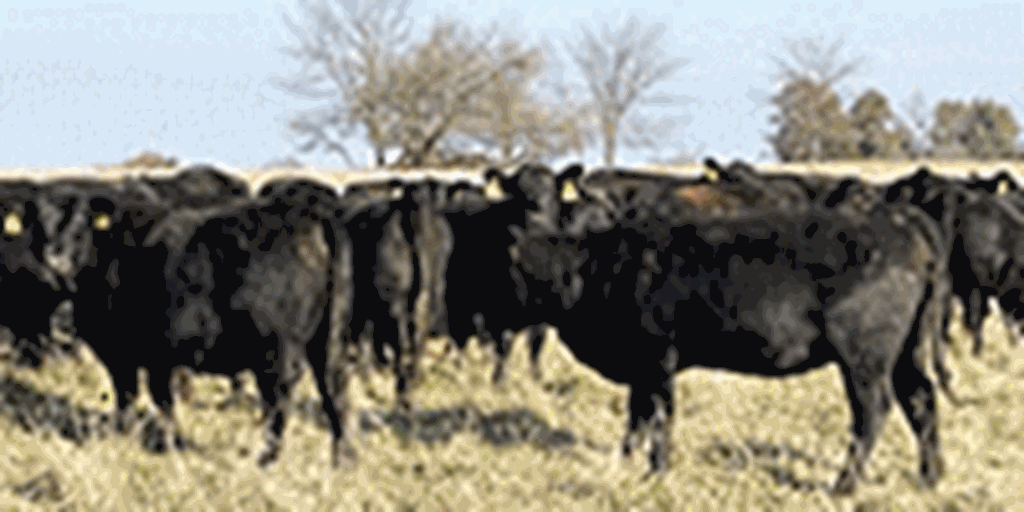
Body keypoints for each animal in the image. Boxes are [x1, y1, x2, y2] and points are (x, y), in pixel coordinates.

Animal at [34, 176, 355, 468]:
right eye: (42, 226)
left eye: (81, 225)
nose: (54, 261)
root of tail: (309, 216)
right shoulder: (156, 357)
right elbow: (157, 398)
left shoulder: (124, 353)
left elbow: (135, 396)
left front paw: (135, 438)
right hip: (327, 341)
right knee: (334, 389)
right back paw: (342, 458)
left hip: (277, 349)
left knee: (279, 398)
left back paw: (268, 457)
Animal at [495, 161, 954, 495]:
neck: (603, 267)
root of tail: (905, 224)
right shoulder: (640, 366)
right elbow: (636, 418)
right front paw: (623, 463)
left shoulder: (657, 357)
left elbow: (659, 415)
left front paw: (655, 473)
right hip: (906, 353)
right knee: (921, 400)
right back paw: (930, 477)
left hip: (864, 359)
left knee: (873, 412)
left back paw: (844, 486)